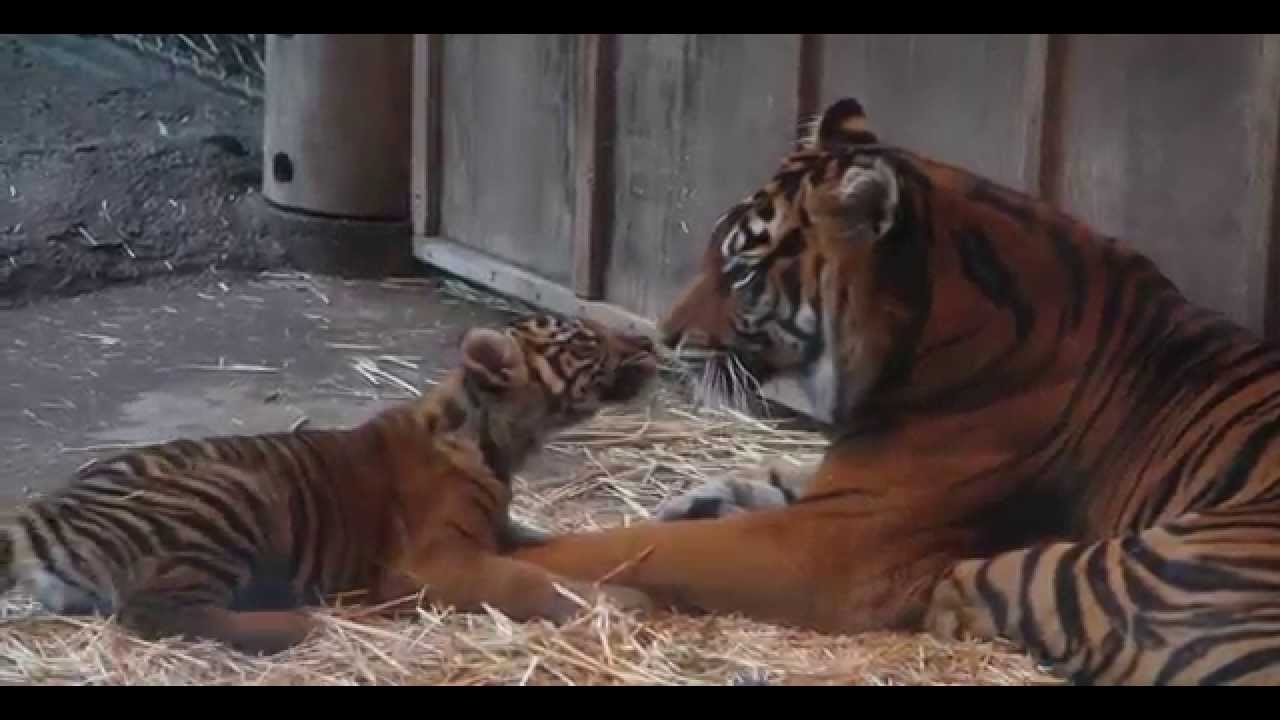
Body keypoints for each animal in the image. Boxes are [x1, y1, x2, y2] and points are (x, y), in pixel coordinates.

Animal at [0, 312, 657, 655]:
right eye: (587, 341)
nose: (649, 339)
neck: (499, 441)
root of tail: (37, 514)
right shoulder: (433, 563)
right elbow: (528, 579)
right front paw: (621, 602)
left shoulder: (499, 530)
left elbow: (550, 548)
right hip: (236, 493)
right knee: (153, 609)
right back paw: (295, 624)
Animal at [508, 97, 1280, 685]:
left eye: (742, 272)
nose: (665, 335)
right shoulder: (846, 488)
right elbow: (777, 474)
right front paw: (699, 499)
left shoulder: (832, 546)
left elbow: (631, 546)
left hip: (1102, 566)